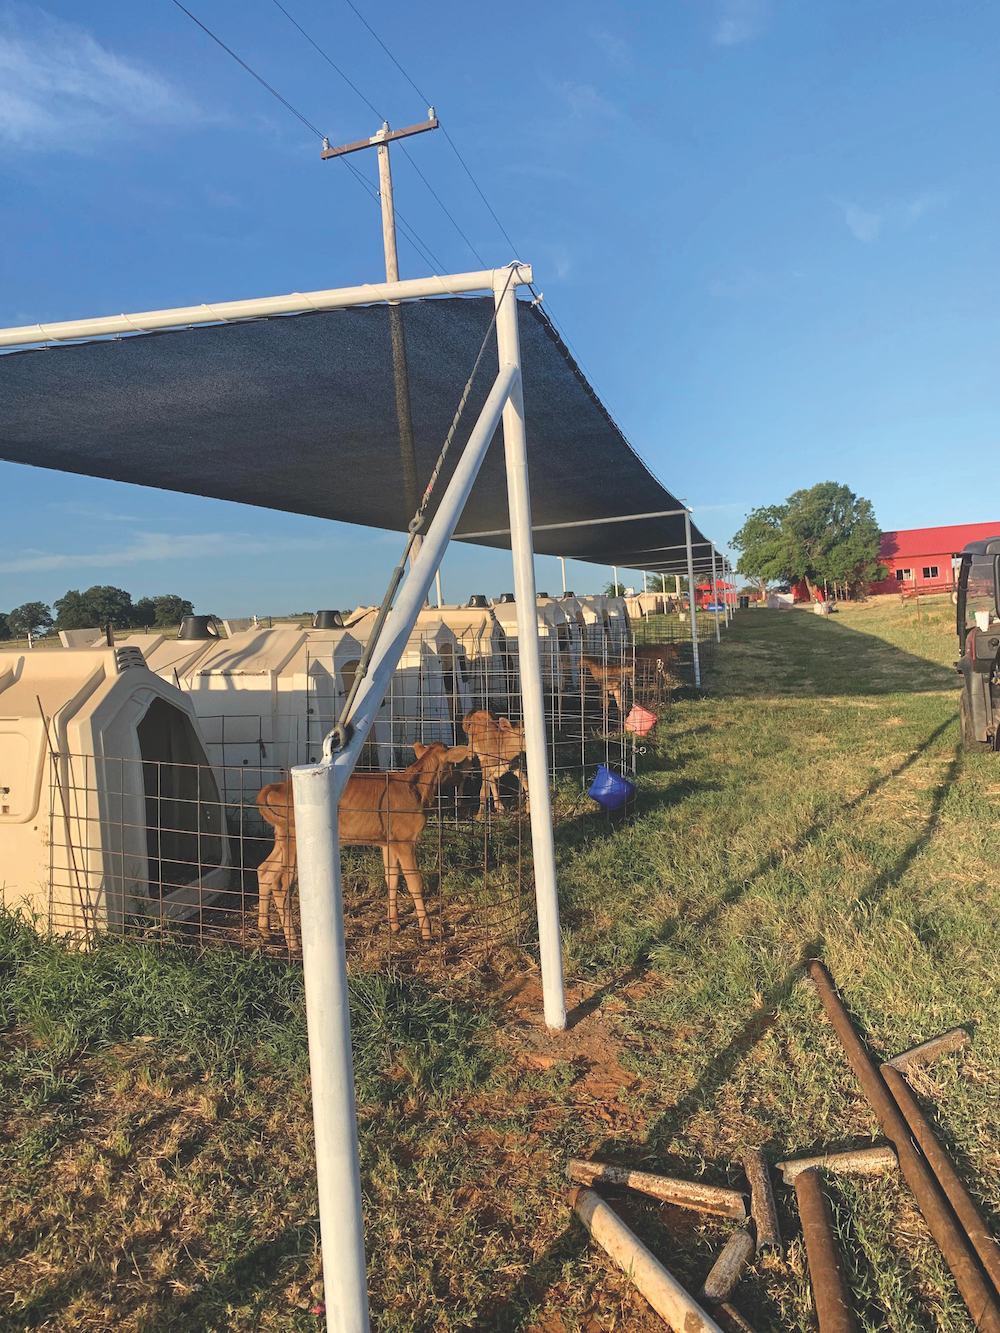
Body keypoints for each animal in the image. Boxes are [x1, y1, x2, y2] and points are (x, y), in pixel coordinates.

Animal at [255, 741, 471, 952]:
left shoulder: (388, 843)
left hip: (282, 839)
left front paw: (395, 925)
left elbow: (392, 878)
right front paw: (427, 933)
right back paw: (293, 943)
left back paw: (265, 932)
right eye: (454, 764)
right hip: (294, 841)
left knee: (264, 871)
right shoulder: (405, 841)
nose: (462, 777)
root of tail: (277, 786)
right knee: (281, 884)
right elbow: (415, 883)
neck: (416, 787)